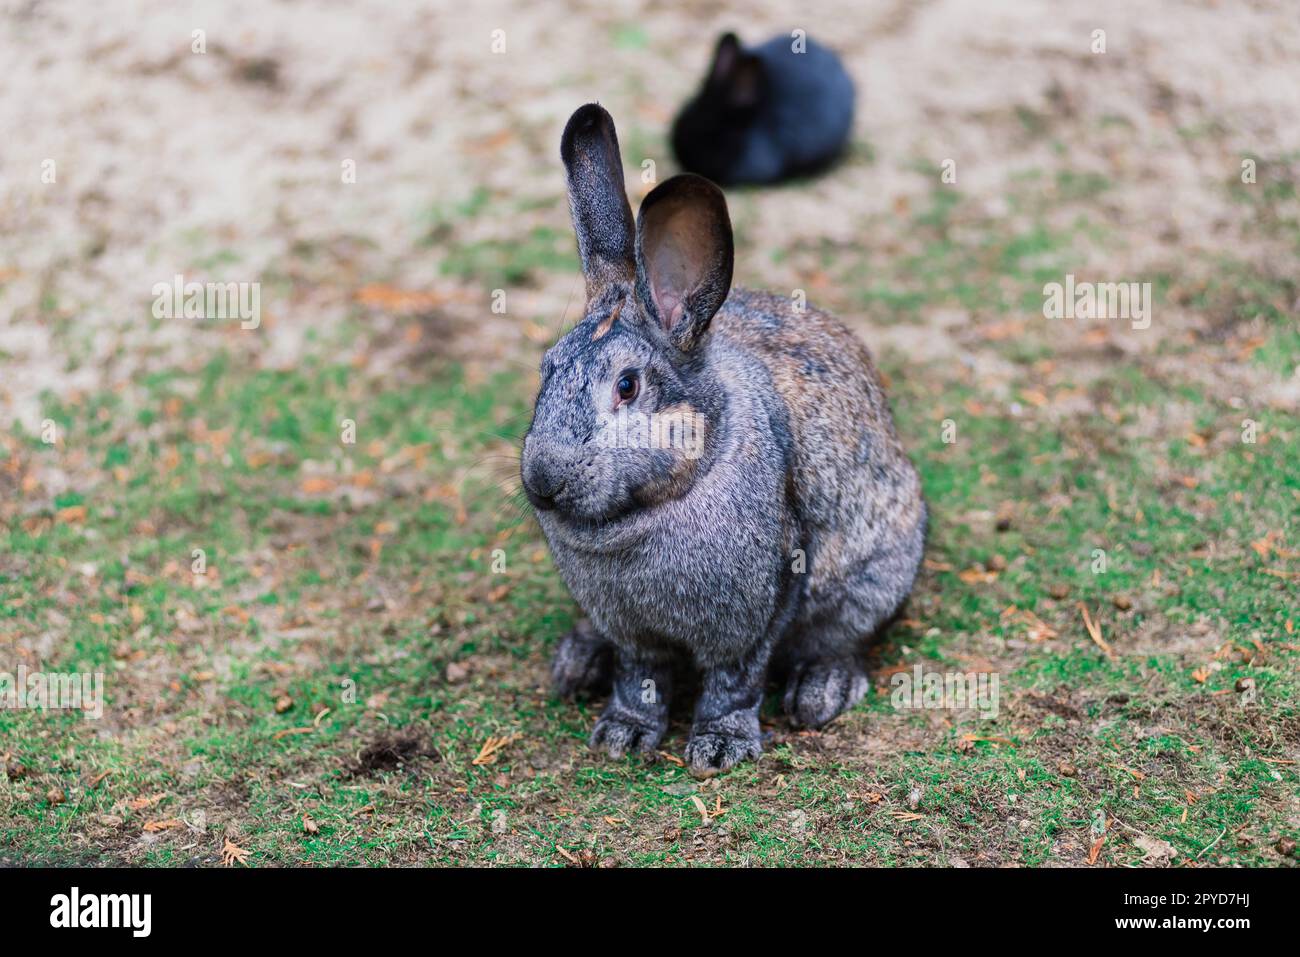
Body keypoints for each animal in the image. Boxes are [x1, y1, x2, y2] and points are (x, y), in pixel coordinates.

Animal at [522, 104, 925, 776]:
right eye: (545, 370)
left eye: (627, 386)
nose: (542, 481)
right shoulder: (632, 630)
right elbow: (640, 676)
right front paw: (623, 734)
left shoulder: (766, 598)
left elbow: (735, 678)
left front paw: (718, 746)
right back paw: (577, 662)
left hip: (877, 572)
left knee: (844, 637)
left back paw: (821, 690)